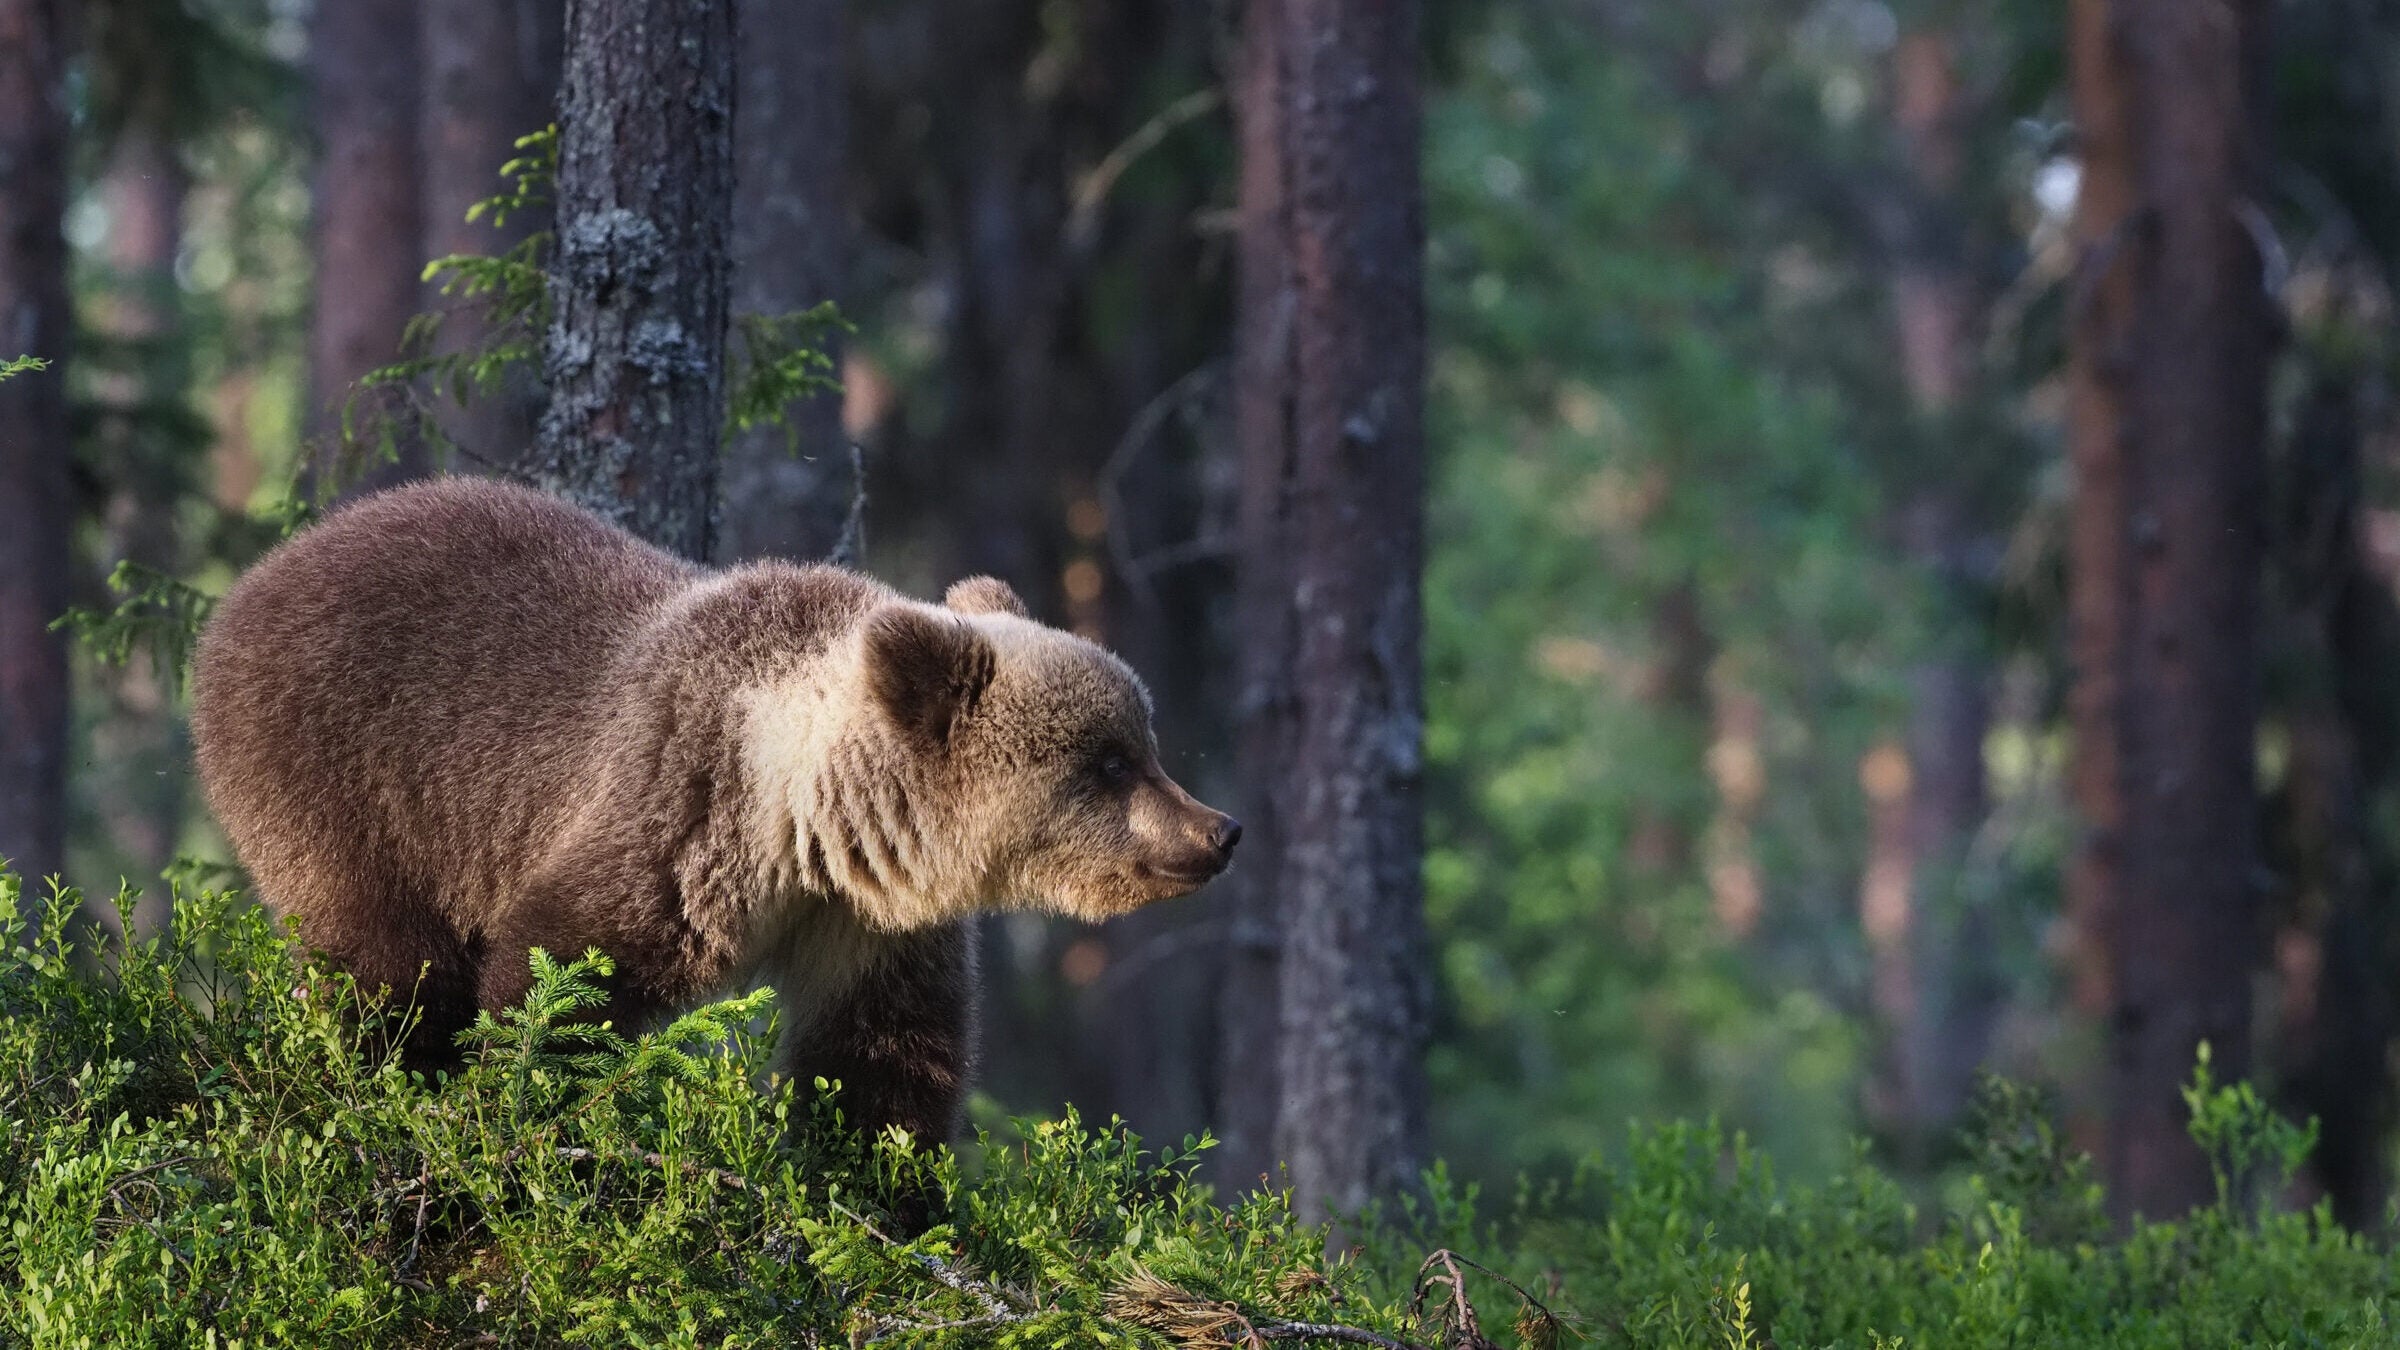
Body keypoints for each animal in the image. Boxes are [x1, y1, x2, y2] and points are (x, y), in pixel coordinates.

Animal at [190, 476, 1239, 1142]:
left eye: (1146, 741)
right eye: (1110, 760)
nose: (1220, 831)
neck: (804, 819)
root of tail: (251, 583)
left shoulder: (871, 925)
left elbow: (884, 1056)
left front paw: (880, 1190)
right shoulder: (677, 817)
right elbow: (558, 973)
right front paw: (525, 1100)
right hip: (340, 772)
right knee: (383, 955)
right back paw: (390, 1071)